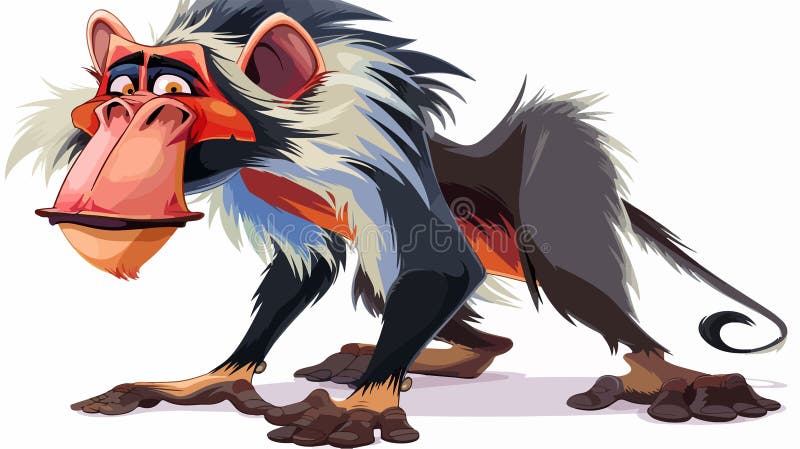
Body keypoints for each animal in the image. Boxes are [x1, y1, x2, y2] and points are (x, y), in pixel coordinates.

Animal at [6, 0, 787, 447]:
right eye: (122, 87)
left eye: (173, 91)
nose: (122, 115)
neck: (273, 145)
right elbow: (304, 273)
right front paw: (214, 380)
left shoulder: (371, 159)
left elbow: (441, 267)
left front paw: (362, 408)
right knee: (447, 320)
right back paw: (430, 357)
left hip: (547, 181)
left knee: (560, 270)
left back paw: (664, 376)